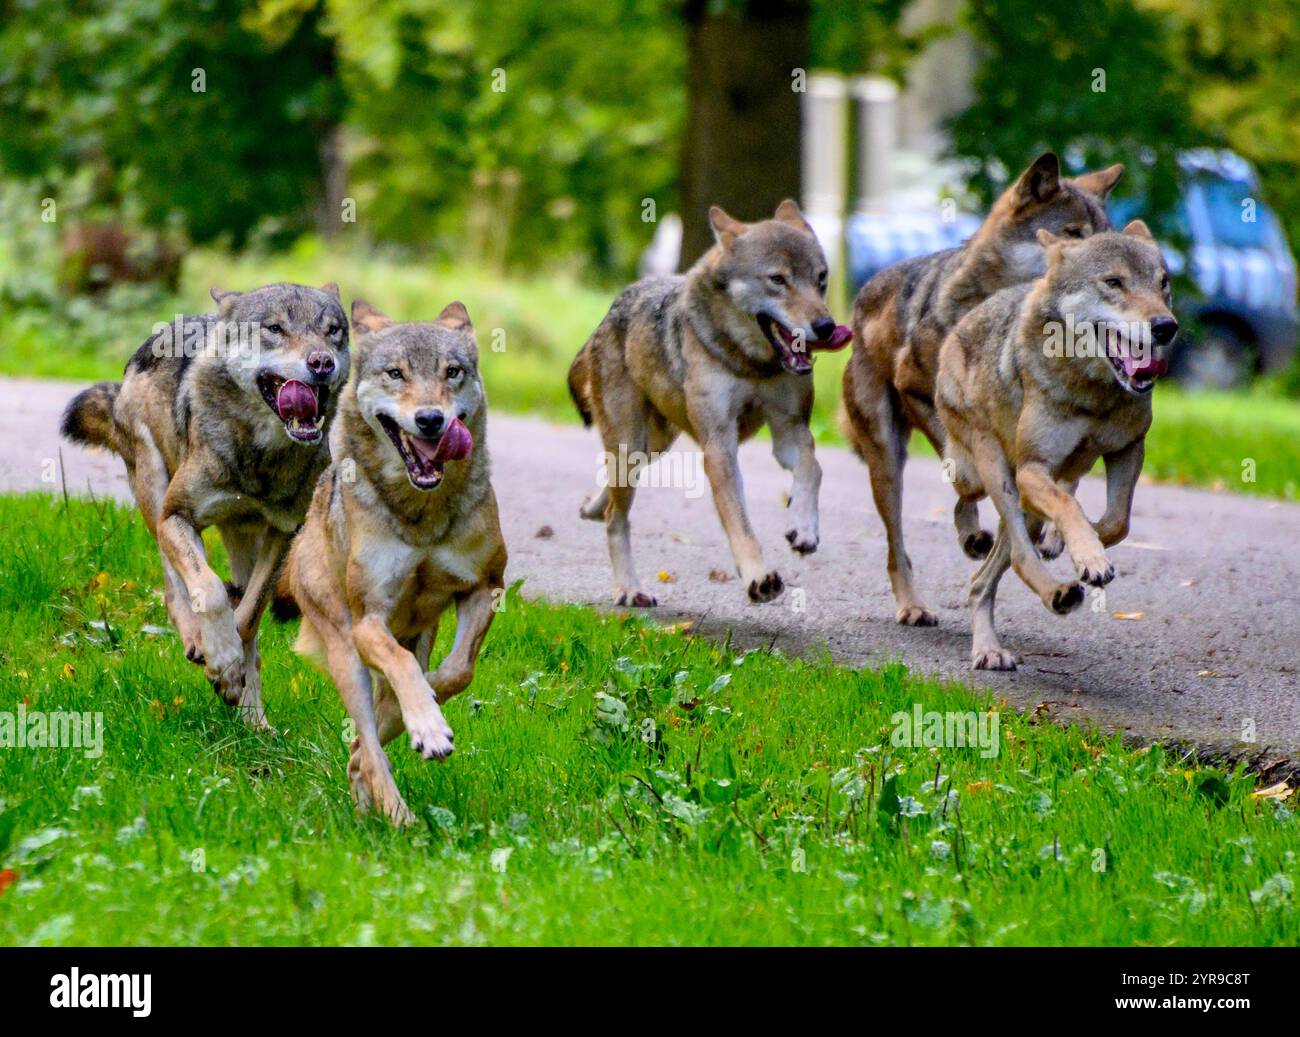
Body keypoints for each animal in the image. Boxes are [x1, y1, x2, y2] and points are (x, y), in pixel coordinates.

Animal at [61, 283, 350, 726]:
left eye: (333, 331)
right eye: (275, 329)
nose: (322, 362)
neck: (259, 457)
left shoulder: (283, 534)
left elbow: (246, 617)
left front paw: (229, 673)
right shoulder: (178, 517)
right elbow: (210, 591)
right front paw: (218, 656)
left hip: (244, 539)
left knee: (248, 626)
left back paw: (254, 720)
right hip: (155, 494)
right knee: (174, 587)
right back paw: (198, 641)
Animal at [283, 300, 506, 826]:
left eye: (452, 372)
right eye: (395, 373)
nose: (430, 420)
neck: (420, 515)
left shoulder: (487, 586)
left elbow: (457, 672)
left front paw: (430, 708)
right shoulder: (370, 621)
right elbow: (405, 670)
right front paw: (427, 724)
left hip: (416, 637)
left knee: (361, 751)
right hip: (347, 654)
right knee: (367, 741)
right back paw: (400, 818)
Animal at [567, 200, 852, 606]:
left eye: (821, 279)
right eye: (778, 280)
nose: (826, 326)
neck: (750, 363)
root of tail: (611, 310)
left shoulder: (790, 431)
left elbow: (813, 469)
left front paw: (803, 527)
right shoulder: (719, 446)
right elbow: (740, 523)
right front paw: (759, 576)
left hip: (653, 446)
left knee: (610, 495)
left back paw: (591, 507)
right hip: (631, 446)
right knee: (615, 519)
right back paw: (629, 589)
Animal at [840, 152, 1123, 626]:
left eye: (1106, 239)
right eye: (1072, 235)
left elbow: (1061, 488)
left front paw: (1055, 537)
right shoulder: (918, 389)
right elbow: (964, 476)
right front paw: (976, 527)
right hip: (887, 460)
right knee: (898, 546)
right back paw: (914, 603)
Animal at [935, 221, 1175, 670]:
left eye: (1163, 283)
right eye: (1114, 283)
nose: (1165, 326)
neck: (1094, 394)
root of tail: (959, 326)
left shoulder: (1128, 449)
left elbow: (1116, 522)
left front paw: (1081, 543)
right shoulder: (1033, 468)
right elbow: (1069, 507)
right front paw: (1090, 557)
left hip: (1021, 497)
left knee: (987, 572)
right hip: (995, 474)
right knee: (1010, 553)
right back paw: (1010, 631)